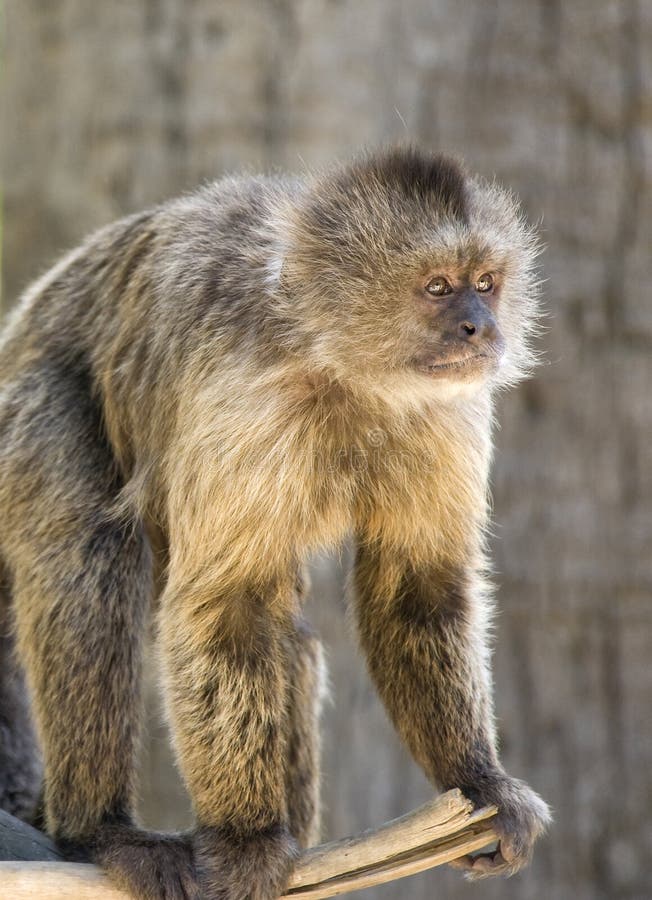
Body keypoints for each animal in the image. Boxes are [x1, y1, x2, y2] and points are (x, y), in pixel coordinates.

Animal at [0, 146, 550, 898]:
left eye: (486, 285)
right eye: (438, 288)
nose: (481, 328)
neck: (342, 367)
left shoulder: (445, 412)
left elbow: (418, 588)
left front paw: (478, 781)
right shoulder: (247, 400)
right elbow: (224, 606)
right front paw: (247, 838)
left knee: (289, 629)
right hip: (29, 407)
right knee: (88, 565)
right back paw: (97, 832)